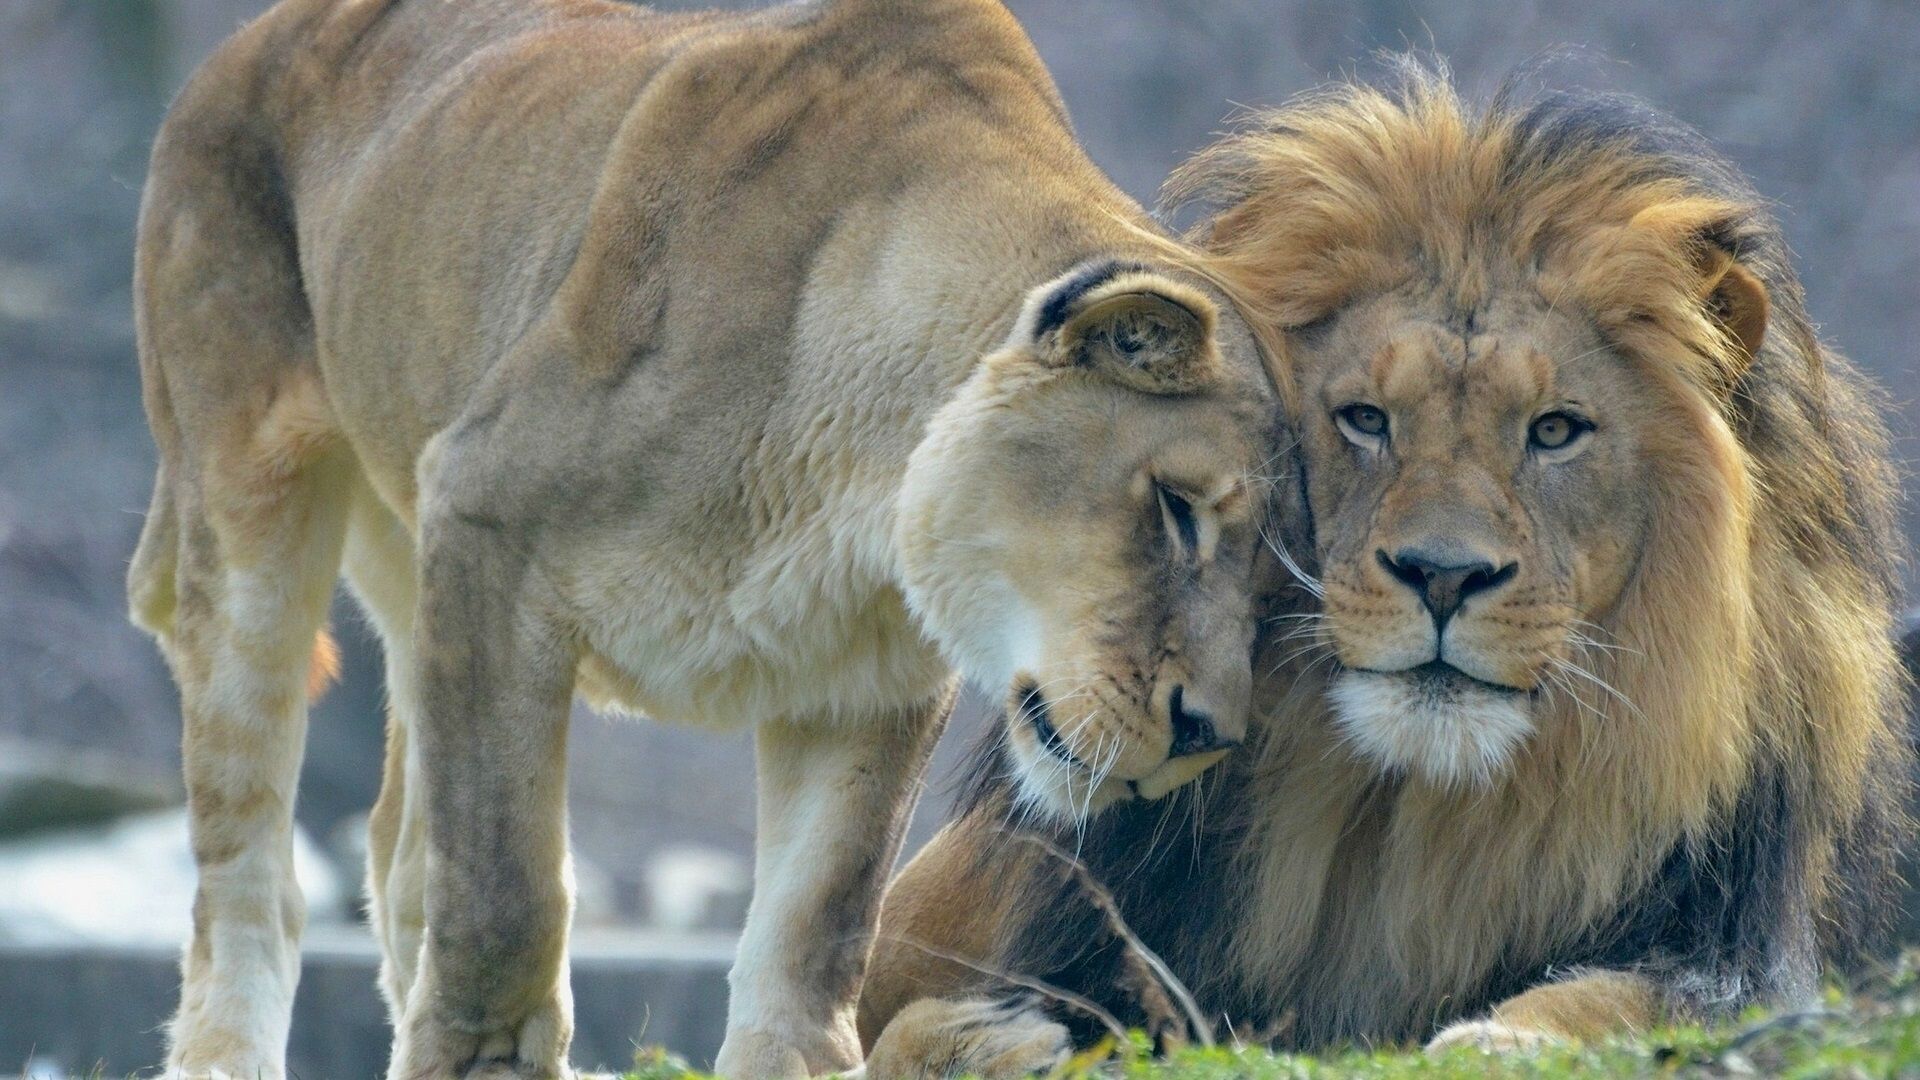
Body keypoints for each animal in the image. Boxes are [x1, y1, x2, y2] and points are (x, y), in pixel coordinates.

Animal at [125, 1, 1283, 1077]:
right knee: (251, 869)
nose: (1209, 734)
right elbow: (504, 890)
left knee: (399, 852)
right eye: (1177, 507)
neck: (854, 470)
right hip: (247, 507)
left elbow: (818, 919)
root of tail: (244, 45)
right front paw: (490, 1063)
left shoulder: (870, 672)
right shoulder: (486, 519)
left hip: (412, 562)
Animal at [856, 63, 1913, 1076]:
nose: (1442, 576)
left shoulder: (1754, 965)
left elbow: (1625, 1004)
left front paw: (1500, 1044)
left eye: (1555, 431)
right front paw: (978, 1040)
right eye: (1366, 420)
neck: (1396, 827)